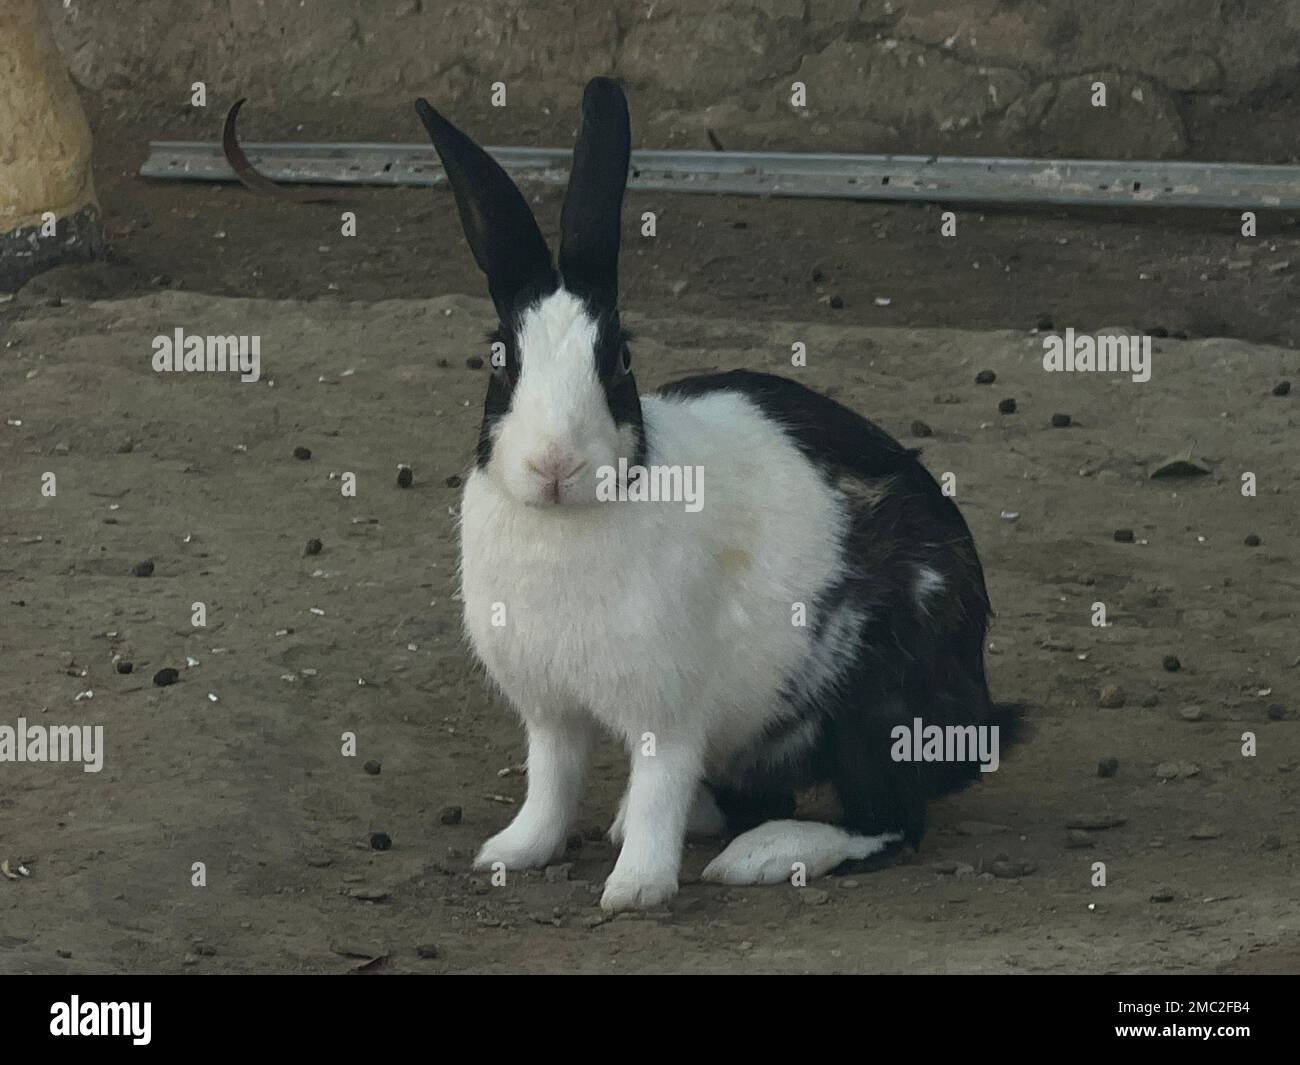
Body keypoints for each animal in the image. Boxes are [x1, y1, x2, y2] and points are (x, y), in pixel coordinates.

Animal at [416, 76, 1013, 912]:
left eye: (619, 359)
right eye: (500, 359)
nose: (554, 463)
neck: (569, 518)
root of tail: (973, 707)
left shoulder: (668, 713)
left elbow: (658, 784)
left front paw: (635, 887)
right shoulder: (551, 713)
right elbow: (552, 784)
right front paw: (513, 850)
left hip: (875, 709)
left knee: (887, 820)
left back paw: (762, 855)